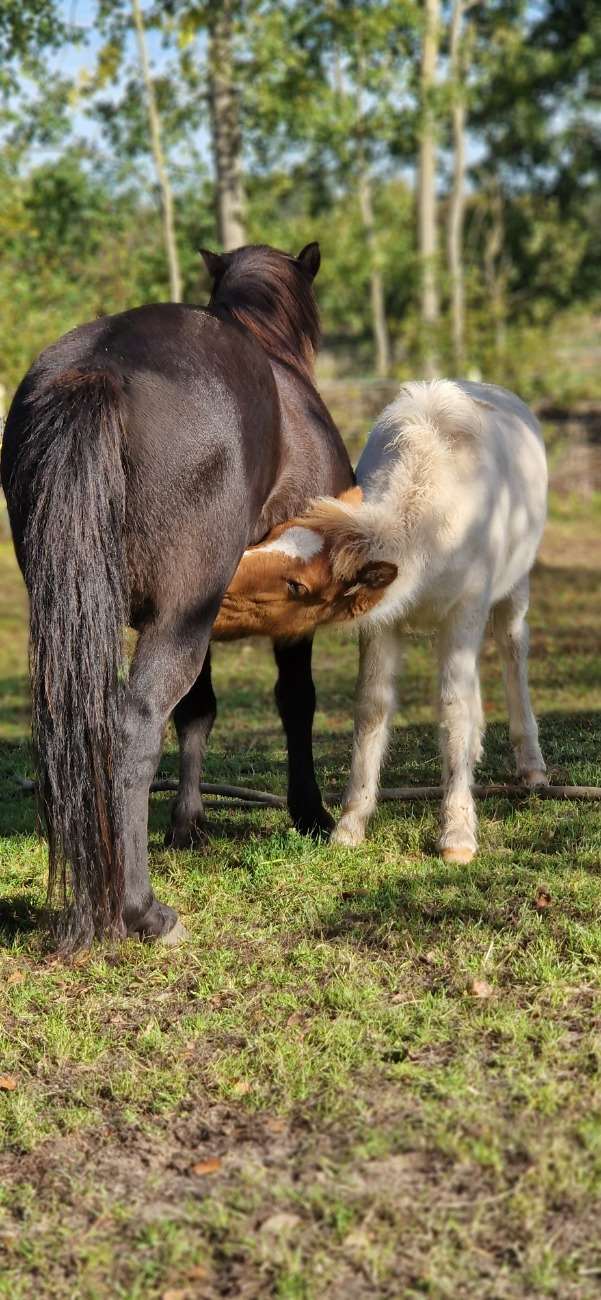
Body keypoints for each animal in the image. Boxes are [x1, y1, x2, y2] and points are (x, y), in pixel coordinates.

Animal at [0, 242, 353, 951]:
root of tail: (100, 368)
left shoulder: (205, 607)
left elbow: (198, 709)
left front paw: (187, 824)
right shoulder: (281, 605)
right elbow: (294, 701)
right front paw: (311, 813)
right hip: (173, 619)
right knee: (133, 726)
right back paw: (141, 909)